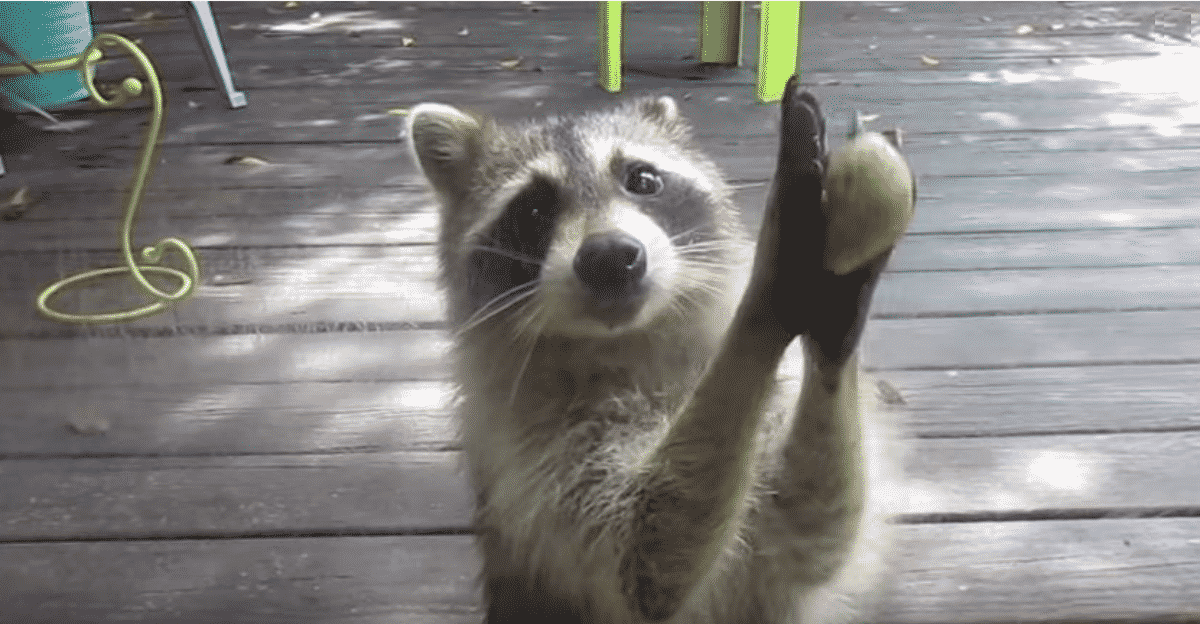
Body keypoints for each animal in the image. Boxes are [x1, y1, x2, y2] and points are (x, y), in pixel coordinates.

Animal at [406, 76, 913, 624]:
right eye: (535, 208)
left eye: (643, 180)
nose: (610, 257)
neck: (632, 341)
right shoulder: (526, 459)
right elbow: (642, 556)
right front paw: (771, 276)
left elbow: (807, 527)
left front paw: (839, 313)